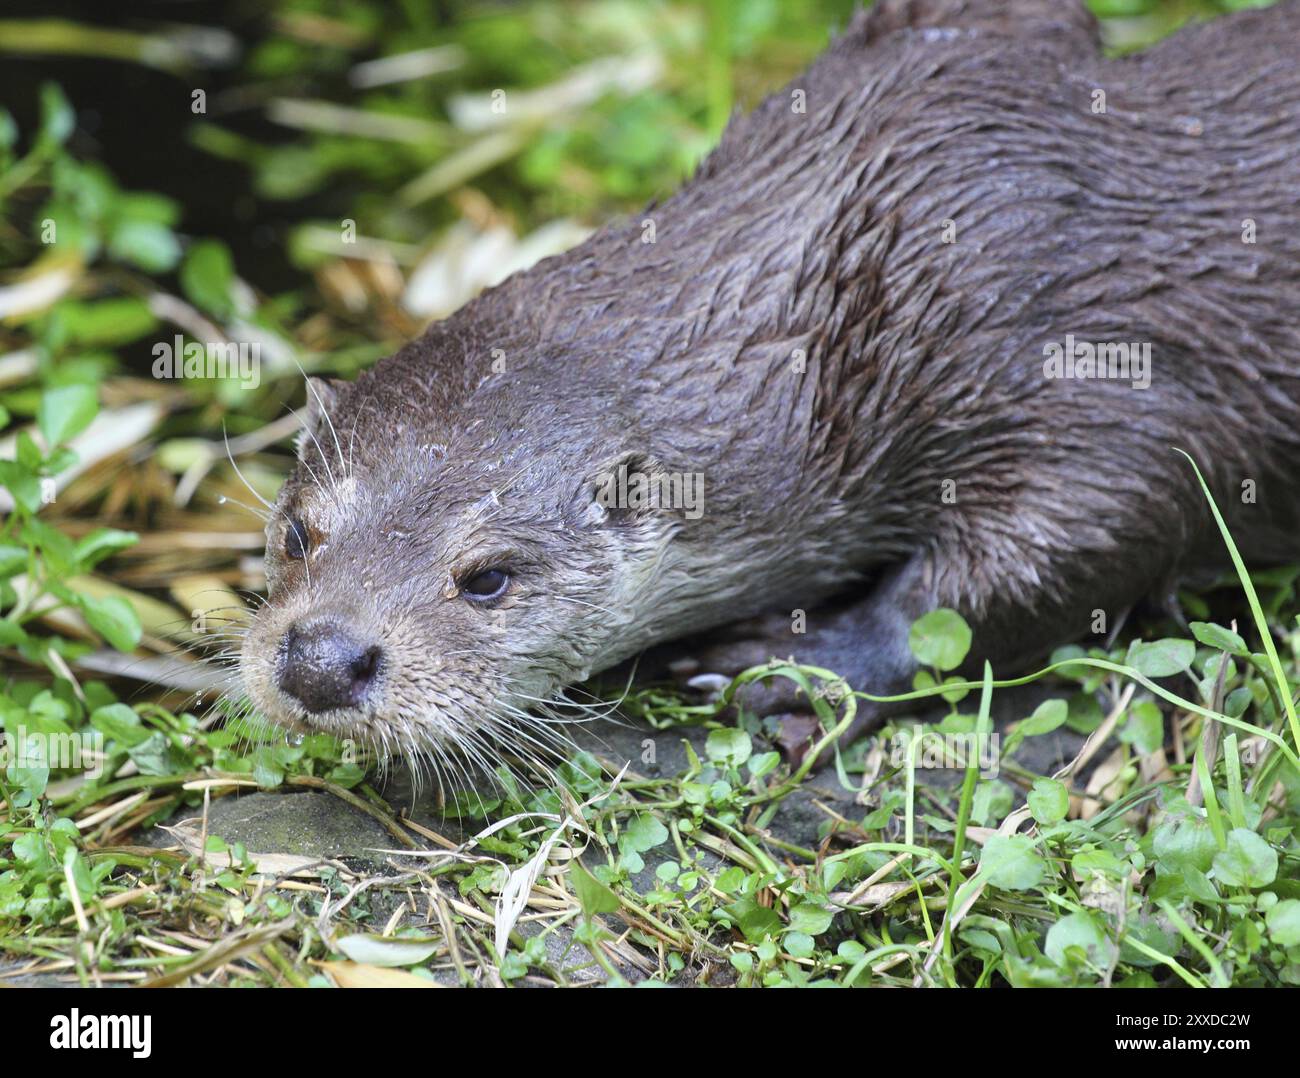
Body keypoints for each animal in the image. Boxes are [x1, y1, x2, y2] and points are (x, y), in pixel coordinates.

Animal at [240, 0, 1300, 772]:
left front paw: (803, 663)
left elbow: (1079, 534)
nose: (322, 662)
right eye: (296, 535)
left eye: (488, 578)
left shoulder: (1069, 364)